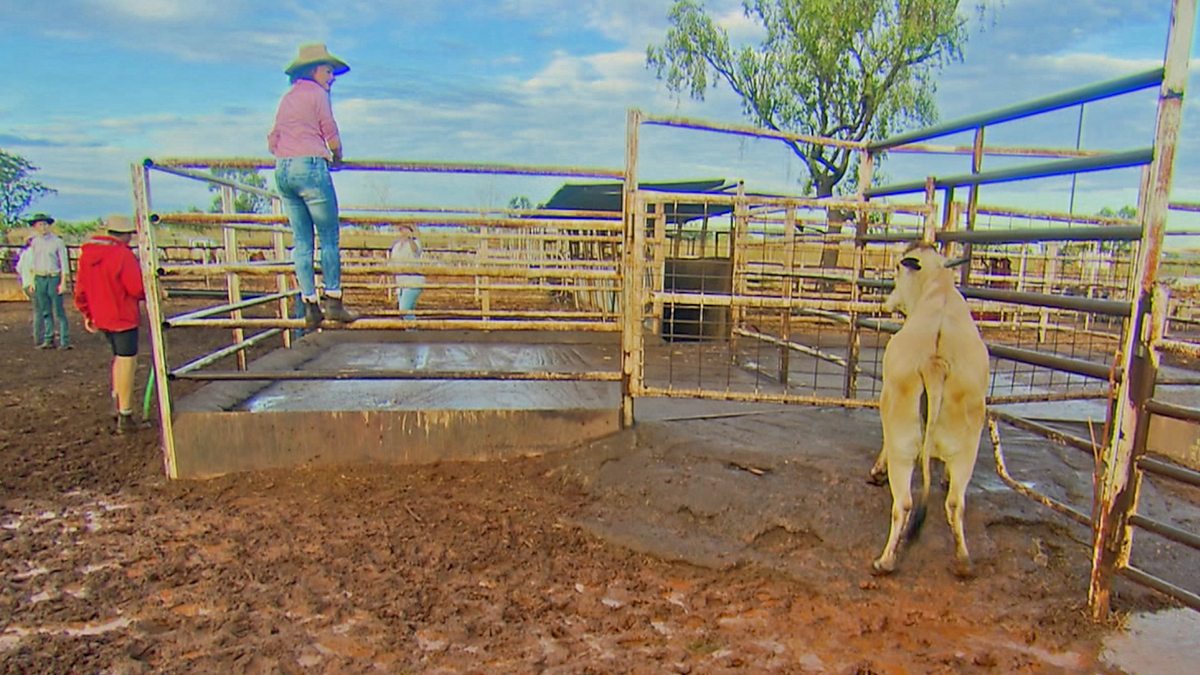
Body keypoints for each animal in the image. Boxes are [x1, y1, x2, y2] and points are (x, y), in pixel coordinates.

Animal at [870, 243, 989, 578]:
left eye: (897, 269)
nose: (889, 300)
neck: (938, 285)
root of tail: (934, 363)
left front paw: (876, 471)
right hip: (967, 445)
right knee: (955, 503)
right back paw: (963, 561)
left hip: (902, 438)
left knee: (904, 503)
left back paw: (884, 561)